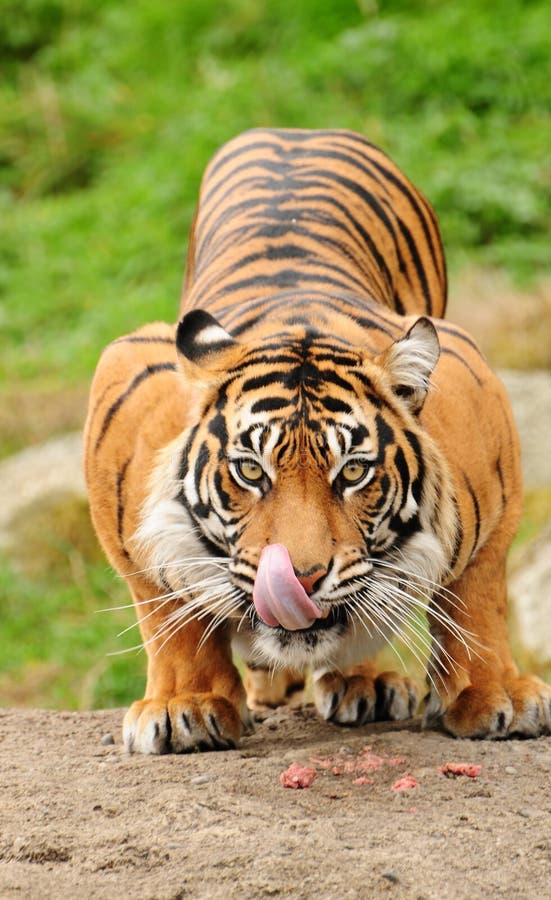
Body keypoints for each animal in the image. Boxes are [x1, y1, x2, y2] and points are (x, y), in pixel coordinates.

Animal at [84, 128, 551, 754]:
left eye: (352, 471)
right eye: (250, 471)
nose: (299, 580)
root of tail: (292, 132)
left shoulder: (489, 435)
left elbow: (479, 593)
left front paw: (495, 693)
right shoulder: (123, 395)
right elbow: (164, 605)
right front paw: (186, 705)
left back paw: (365, 685)